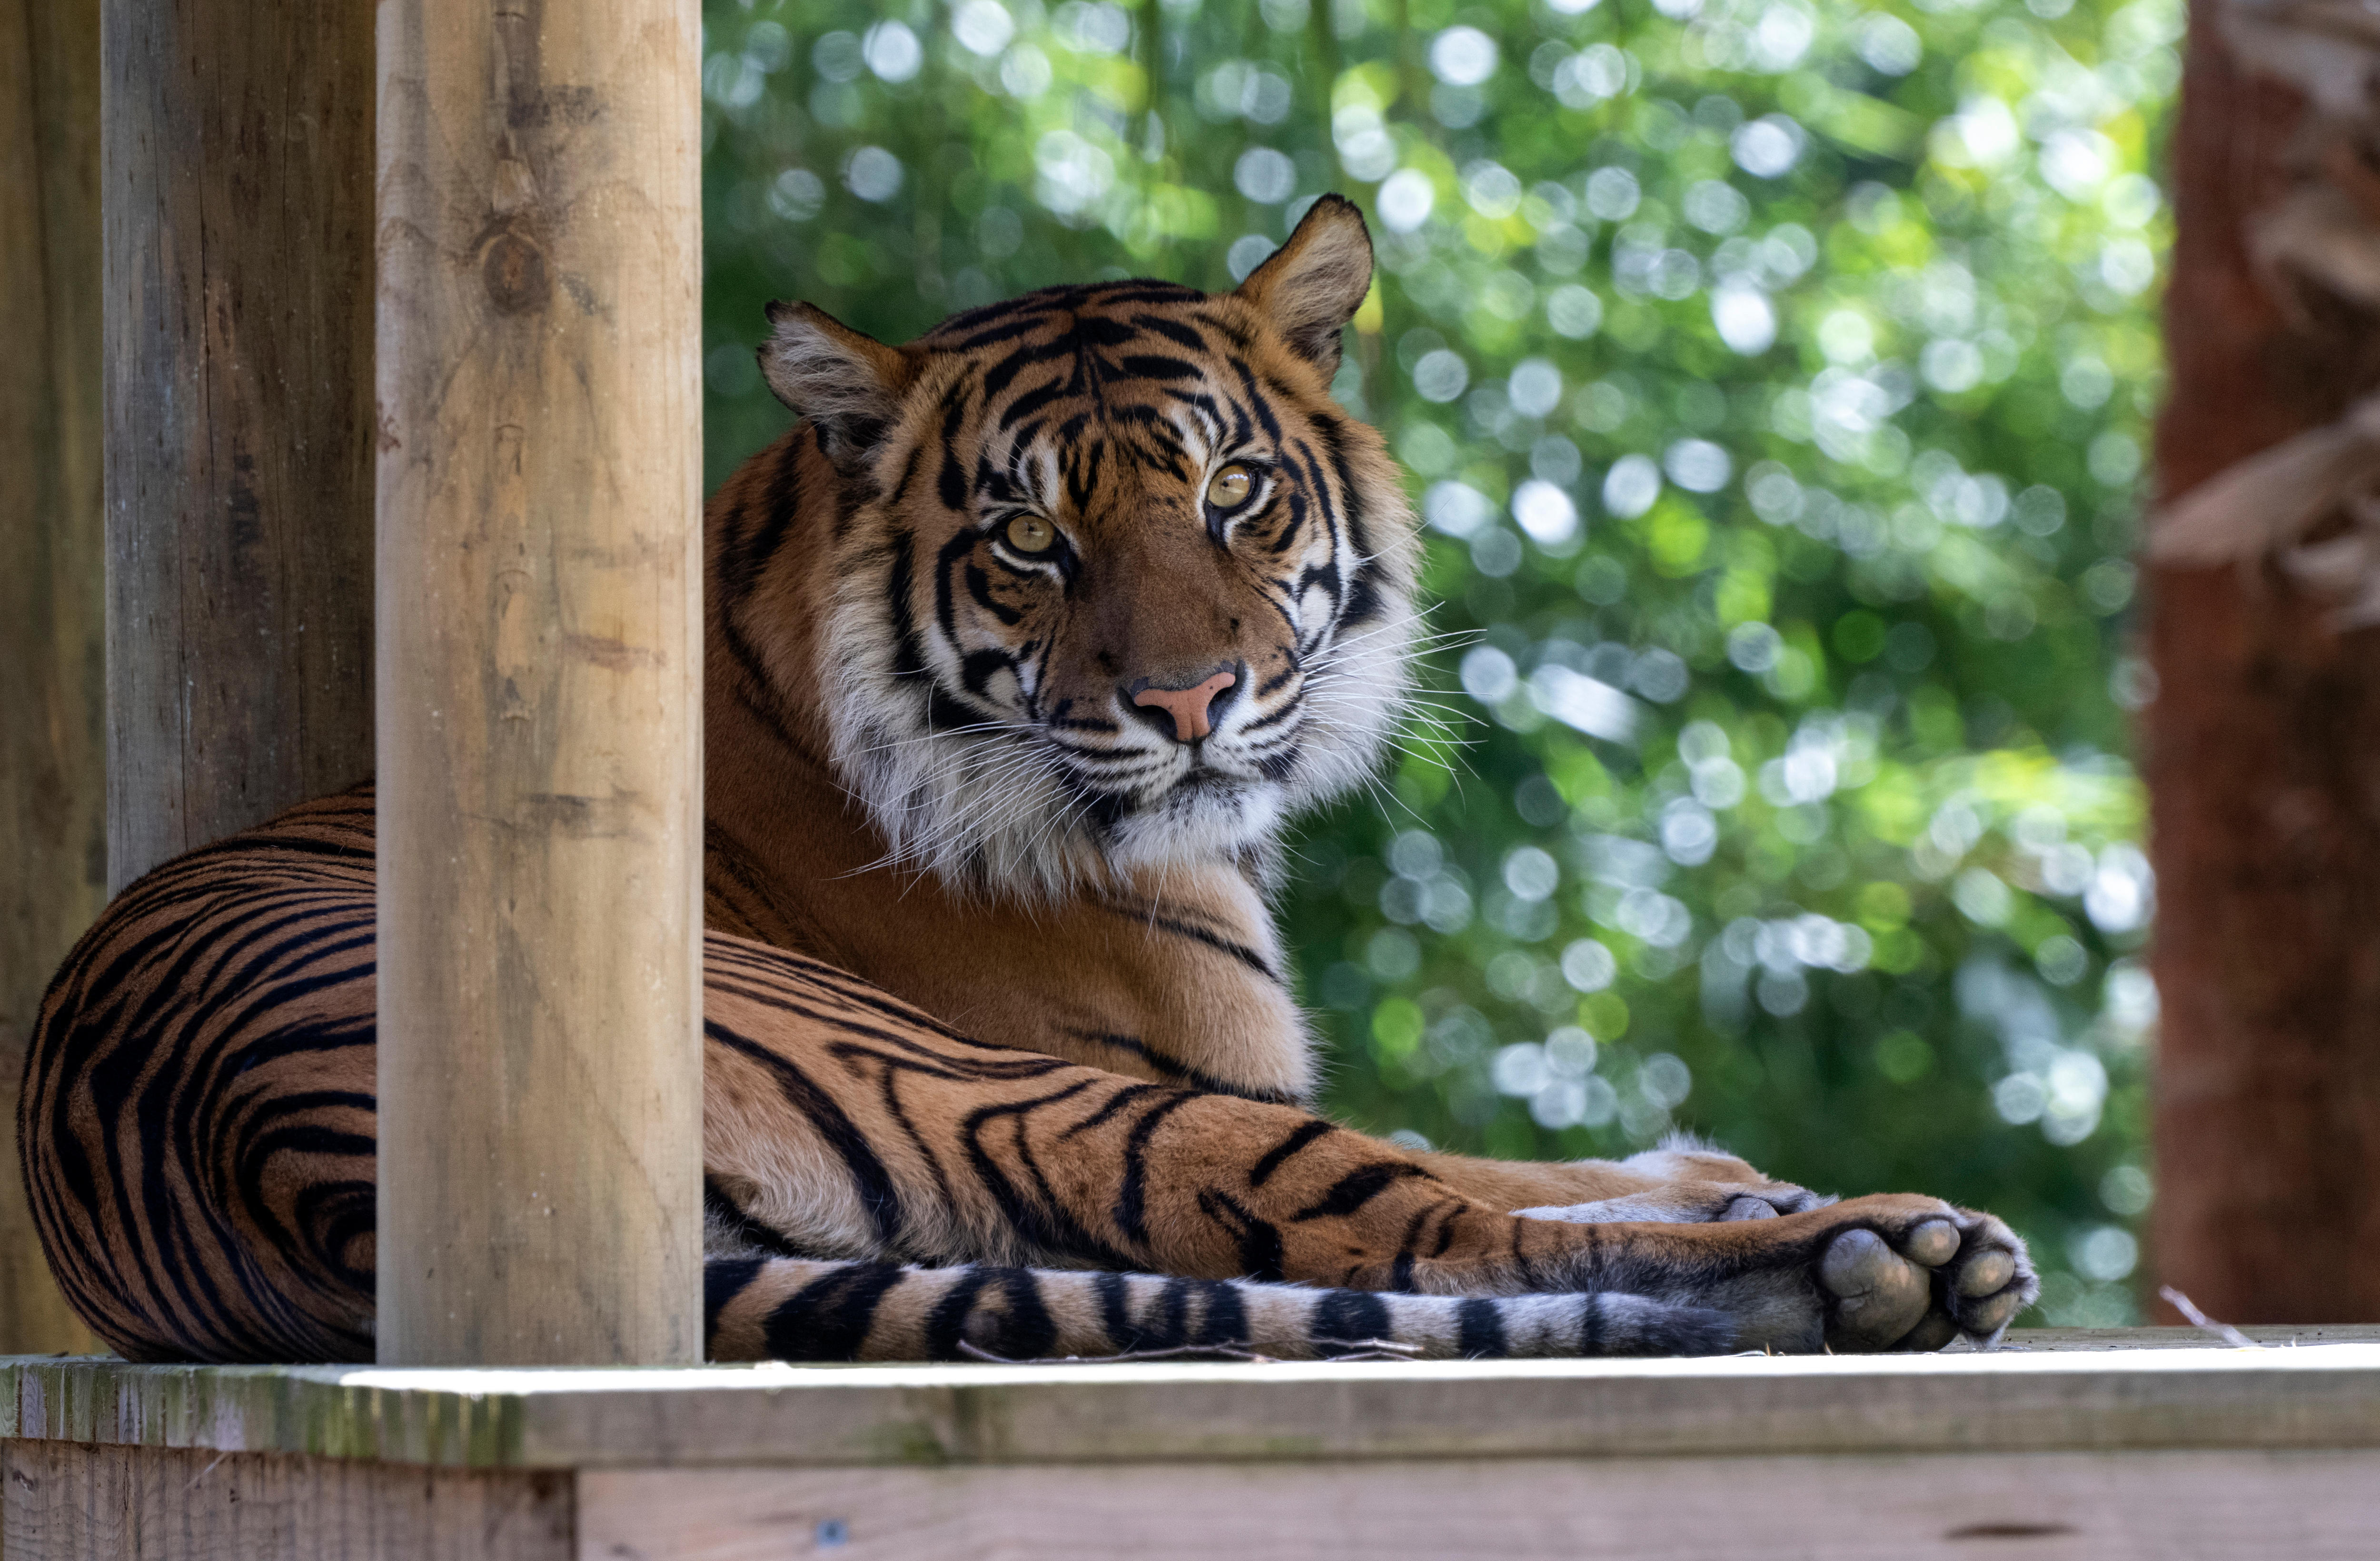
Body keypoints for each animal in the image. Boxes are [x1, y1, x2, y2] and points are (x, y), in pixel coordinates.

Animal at [20, 195, 2035, 1366]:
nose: (1194, 700)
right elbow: (1448, 1170)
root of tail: (288, 1160)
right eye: (1026, 539)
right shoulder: (1176, 1074)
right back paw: (1889, 1258)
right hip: (1003, 1092)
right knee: (1407, 1221)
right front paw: (1772, 1201)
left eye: (1232, 490)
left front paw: (1729, 1170)